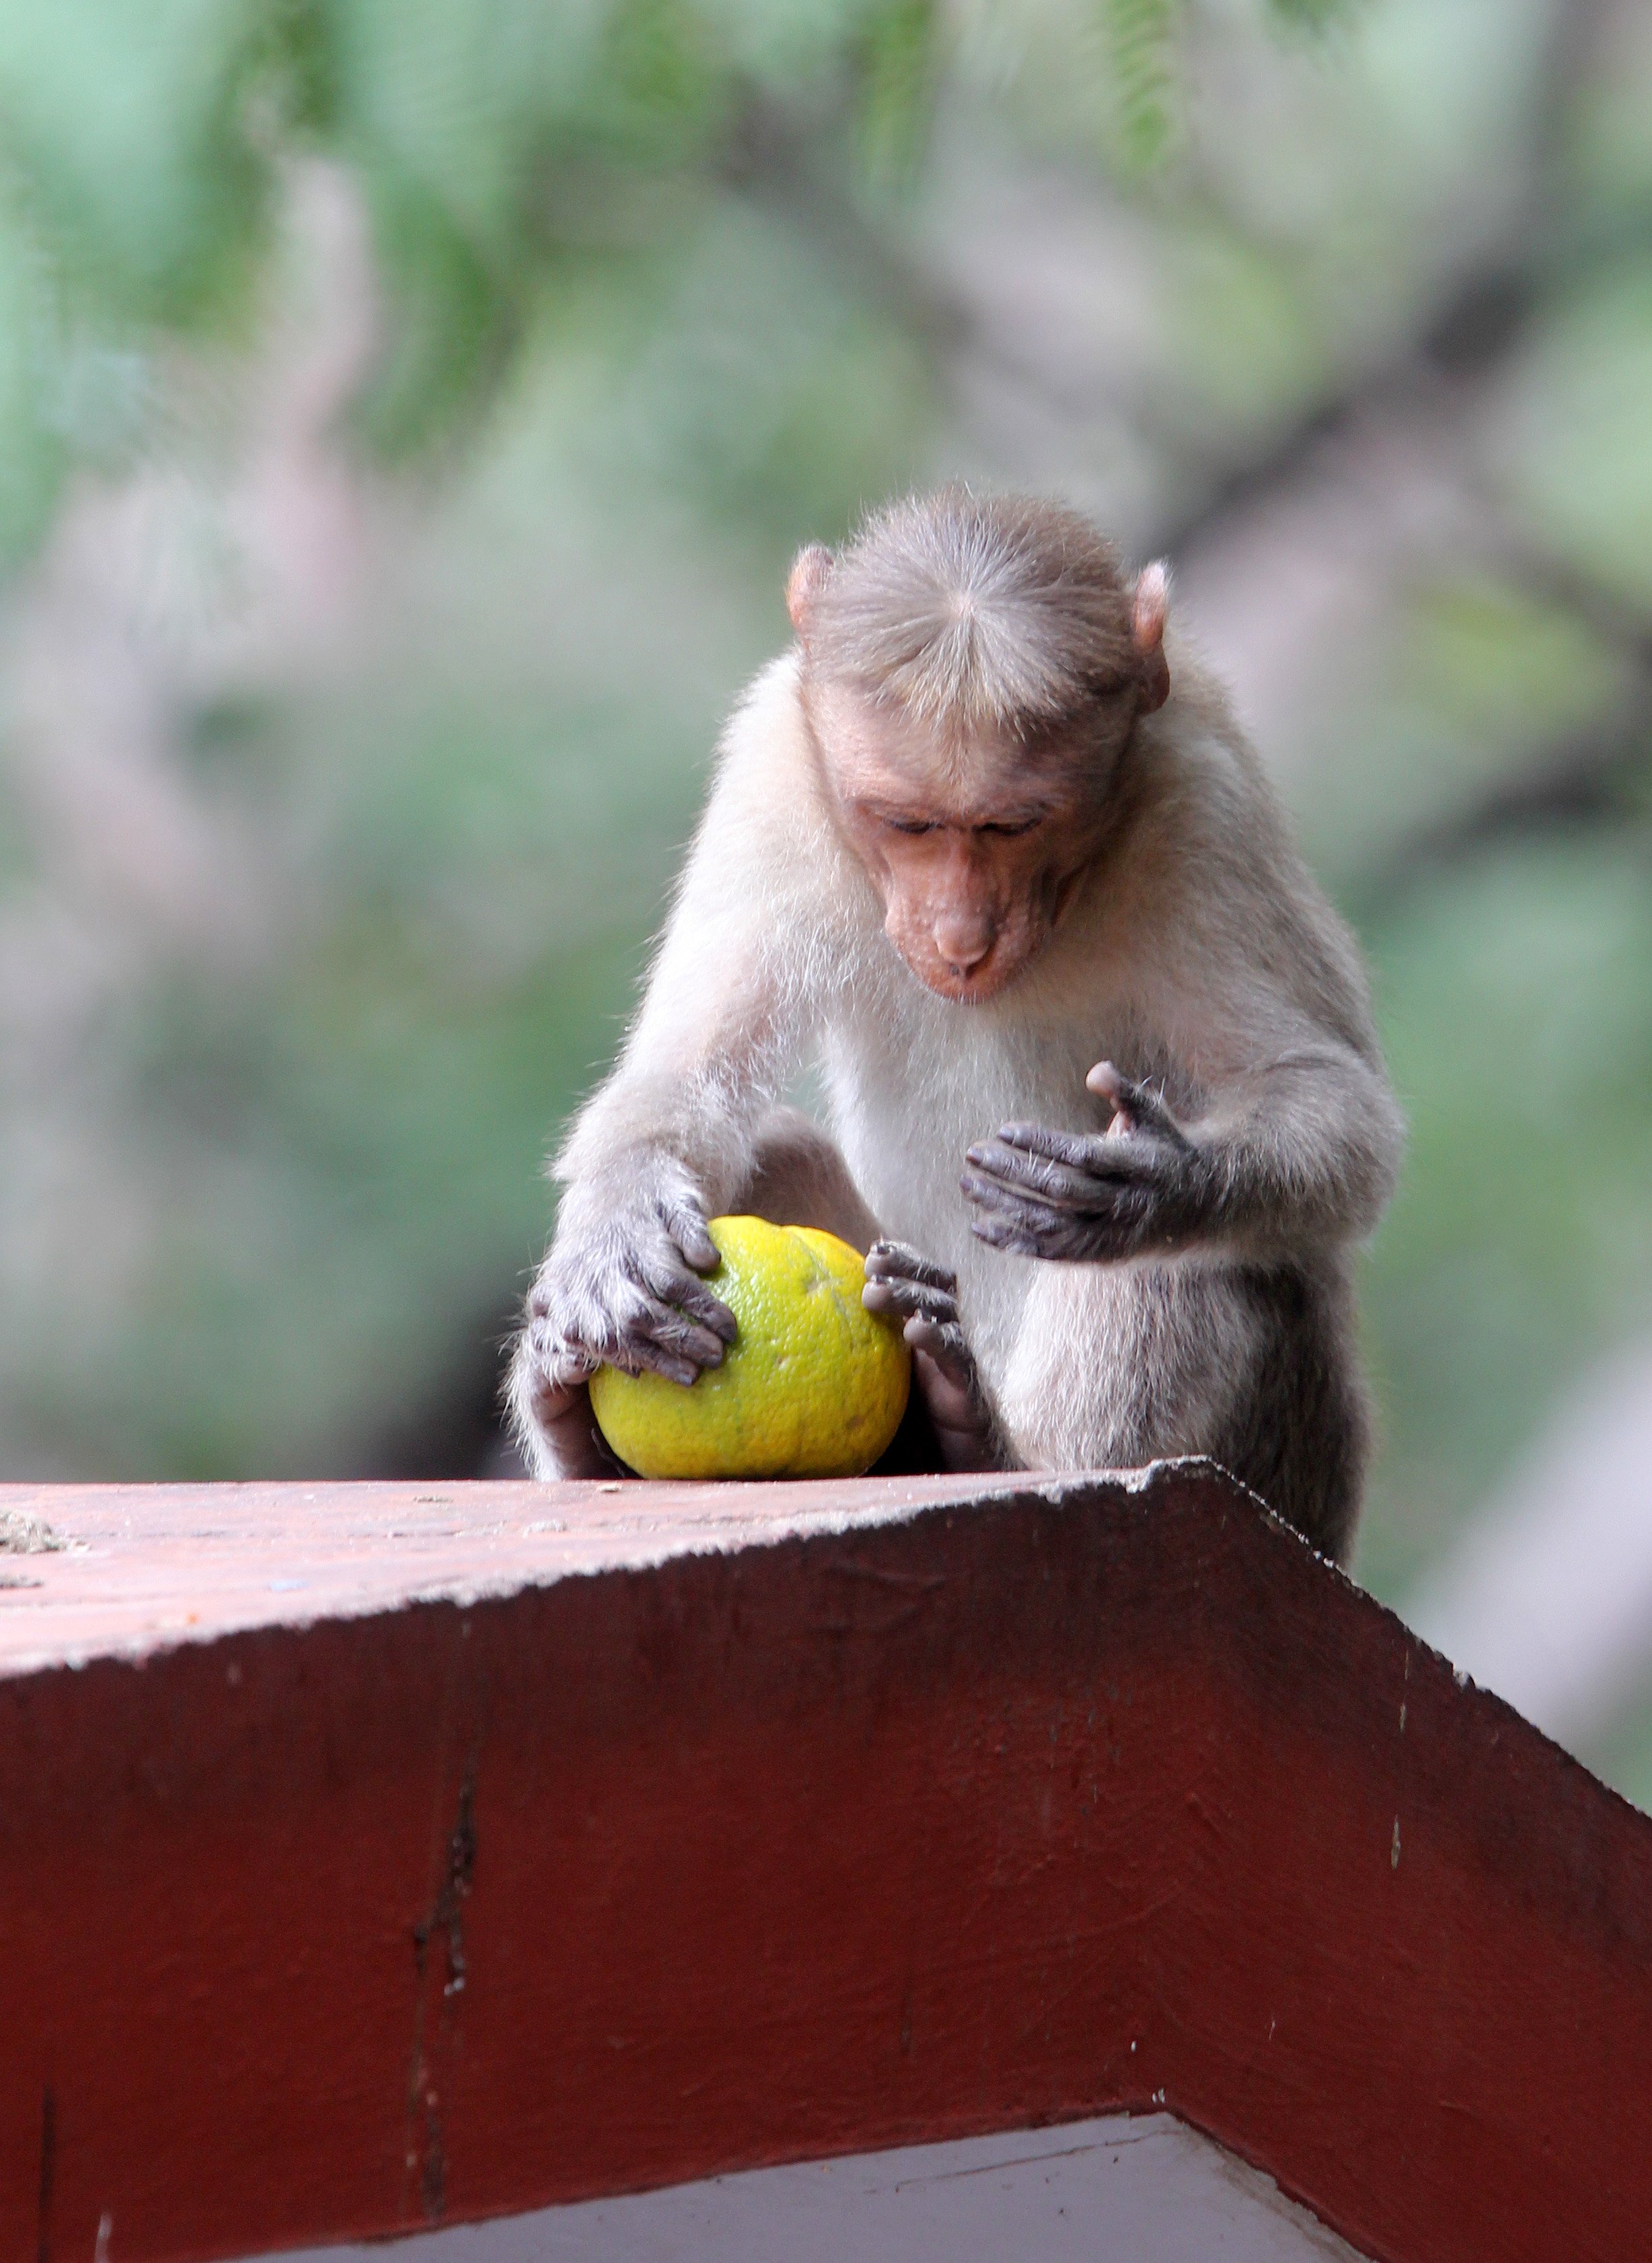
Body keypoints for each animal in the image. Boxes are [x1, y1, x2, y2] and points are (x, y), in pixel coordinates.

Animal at [509, 487, 1403, 1562]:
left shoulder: (1206, 805)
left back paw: (988, 1437)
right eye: (908, 823)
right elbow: (685, 1070)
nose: (961, 935)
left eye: (1013, 825)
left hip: (1298, 1480)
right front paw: (614, 1242)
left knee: (1220, 1262)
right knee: (765, 1147)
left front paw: (1158, 1182)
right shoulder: (771, 764)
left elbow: (1326, 1098)